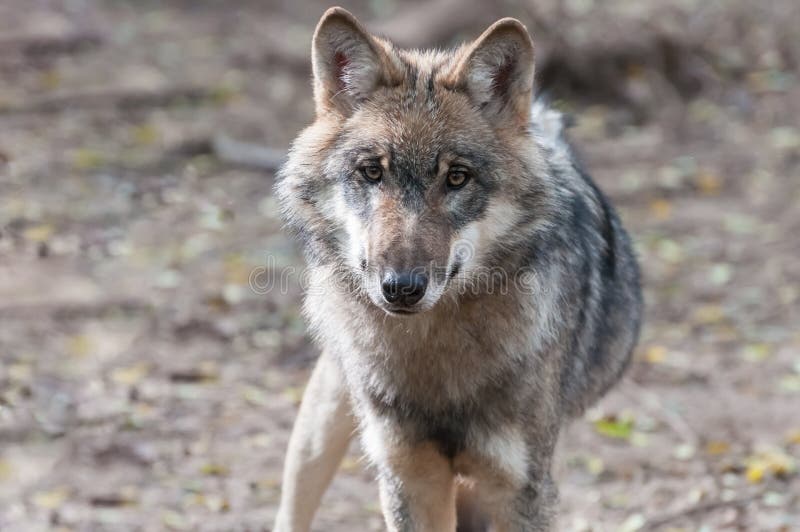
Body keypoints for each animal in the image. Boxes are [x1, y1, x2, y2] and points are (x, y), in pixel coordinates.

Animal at [273, 7, 642, 531]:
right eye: (372, 172)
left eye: (457, 177)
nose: (401, 288)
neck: (435, 355)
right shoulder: (408, 476)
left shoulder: (519, 488)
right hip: (322, 425)